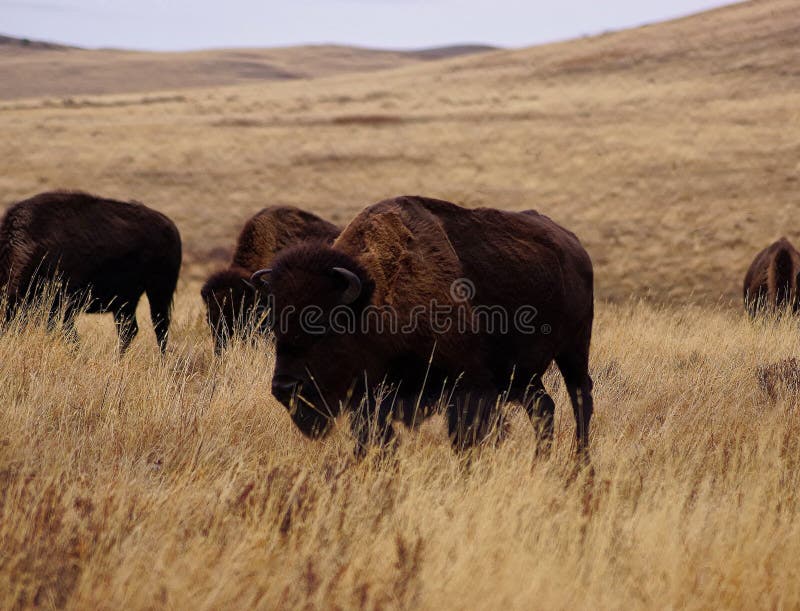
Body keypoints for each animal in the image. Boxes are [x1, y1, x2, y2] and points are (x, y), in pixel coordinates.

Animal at [0, 191, 181, 353]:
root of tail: (171, 227)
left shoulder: (64, 306)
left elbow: (69, 335)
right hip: (126, 302)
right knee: (129, 331)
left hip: (159, 292)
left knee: (160, 329)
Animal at [253, 196, 595, 458]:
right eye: (276, 326)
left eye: (324, 328)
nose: (284, 388)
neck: (371, 299)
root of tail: (575, 246)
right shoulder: (372, 401)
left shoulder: (468, 388)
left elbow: (466, 440)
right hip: (524, 376)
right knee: (544, 407)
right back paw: (542, 462)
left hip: (574, 350)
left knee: (580, 399)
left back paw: (580, 463)